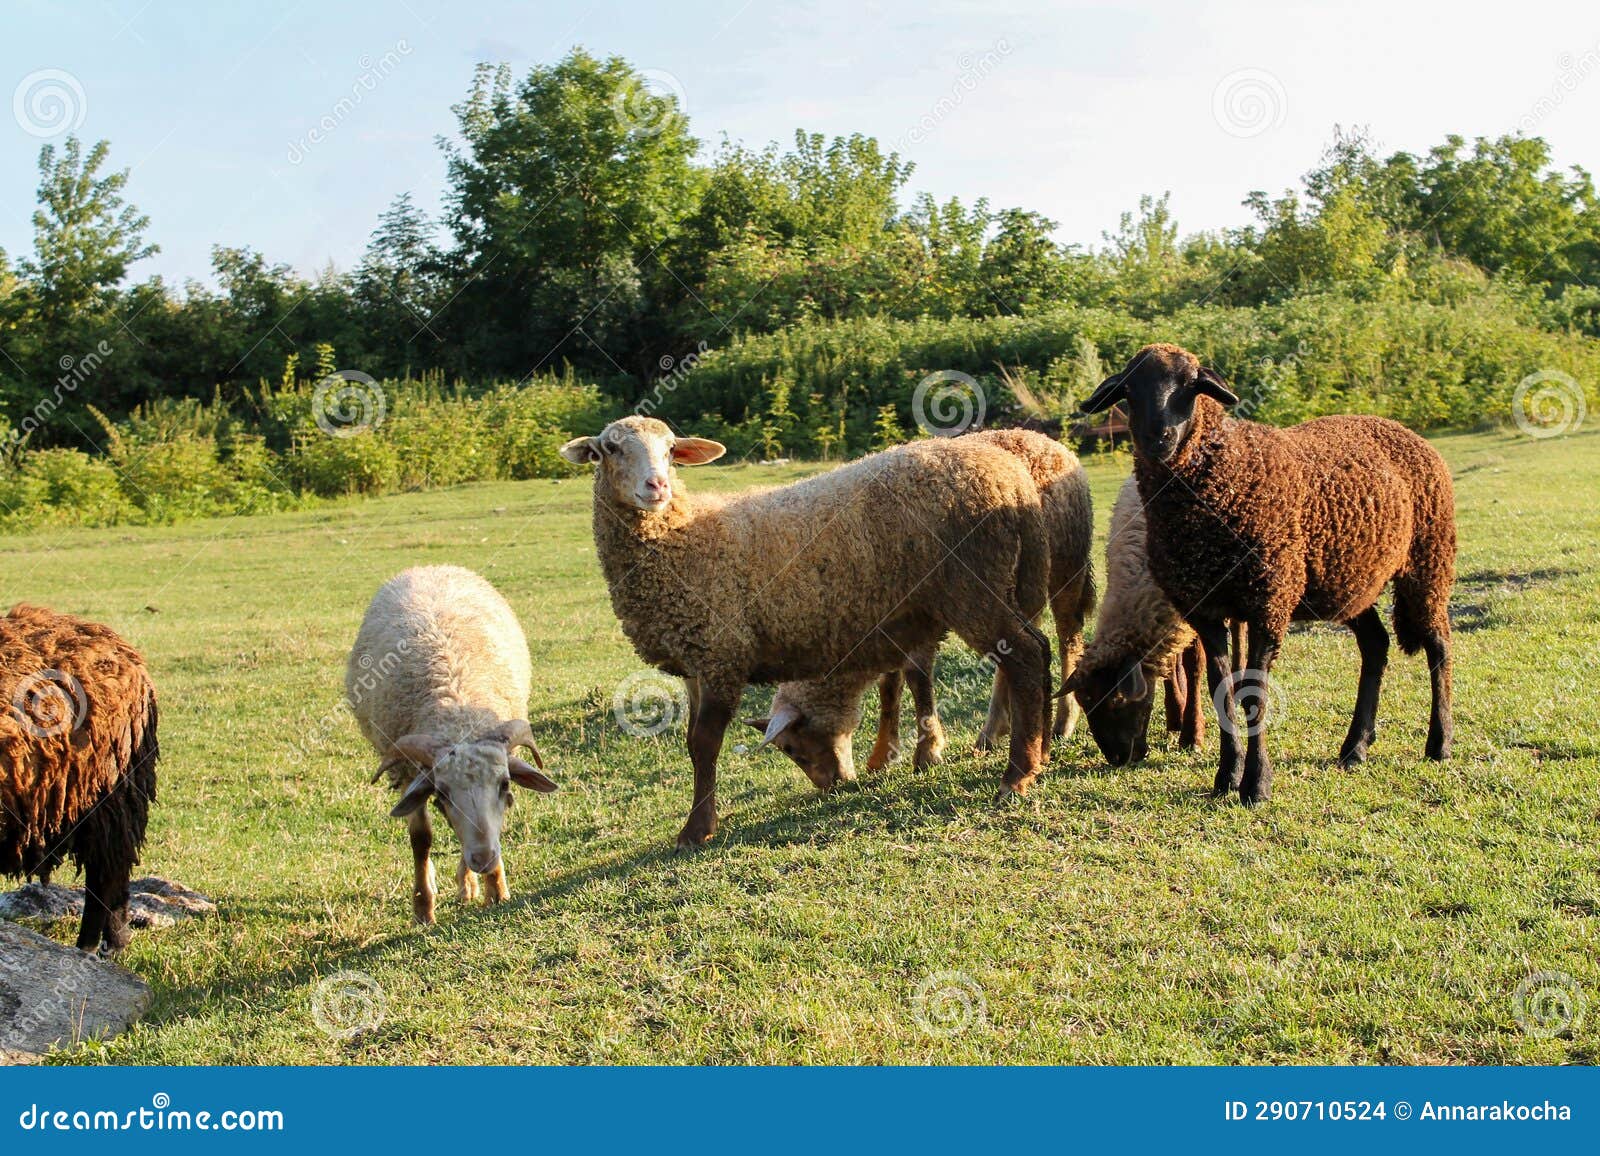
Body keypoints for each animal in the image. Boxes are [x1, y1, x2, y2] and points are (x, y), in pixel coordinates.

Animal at [346, 565, 556, 924]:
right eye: (442, 792)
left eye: (504, 784)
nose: (483, 859)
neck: (458, 711)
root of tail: (428, 567)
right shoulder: (409, 772)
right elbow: (421, 840)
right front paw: (423, 907)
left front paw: (495, 889)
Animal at [560, 417, 1055, 847]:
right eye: (609, 449)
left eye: (669, 451)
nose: (657, 487)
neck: (680, 537)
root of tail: (1010, 476)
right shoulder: (697, 661)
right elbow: (692, 746)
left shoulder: (723, 652)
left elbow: (705, 744)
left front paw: (696, 831)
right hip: (1007, 583)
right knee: (1041, 650)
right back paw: (1043, 749)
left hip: (973, 588)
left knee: (1025, 657)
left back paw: (1017, 775)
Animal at [747, 428, 1096, 788]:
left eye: (790, 747)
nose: (830, 785)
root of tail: (1046, 440)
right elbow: (890, 687)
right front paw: (883, 754)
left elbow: (916, 678)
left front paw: (927, 752)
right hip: (1019, 586)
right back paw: (995, 732)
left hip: (1063, 567)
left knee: (1067, 637)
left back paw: (1062, 722)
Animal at [1080, 343, 1455, 802]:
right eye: (1129, 391)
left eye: (1190, 387)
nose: (1159, 439)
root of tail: (1403, 430)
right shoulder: (1204, 610)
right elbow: (1220, 690)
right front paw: (1226, 777)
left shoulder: (1268, 603)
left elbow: (1253, 695)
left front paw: (1256, 785)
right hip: (1350, 583)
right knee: (1375, 645)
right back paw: (1355, 748)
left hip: (1428, 559)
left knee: (1439, 646)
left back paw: (1439, 743)